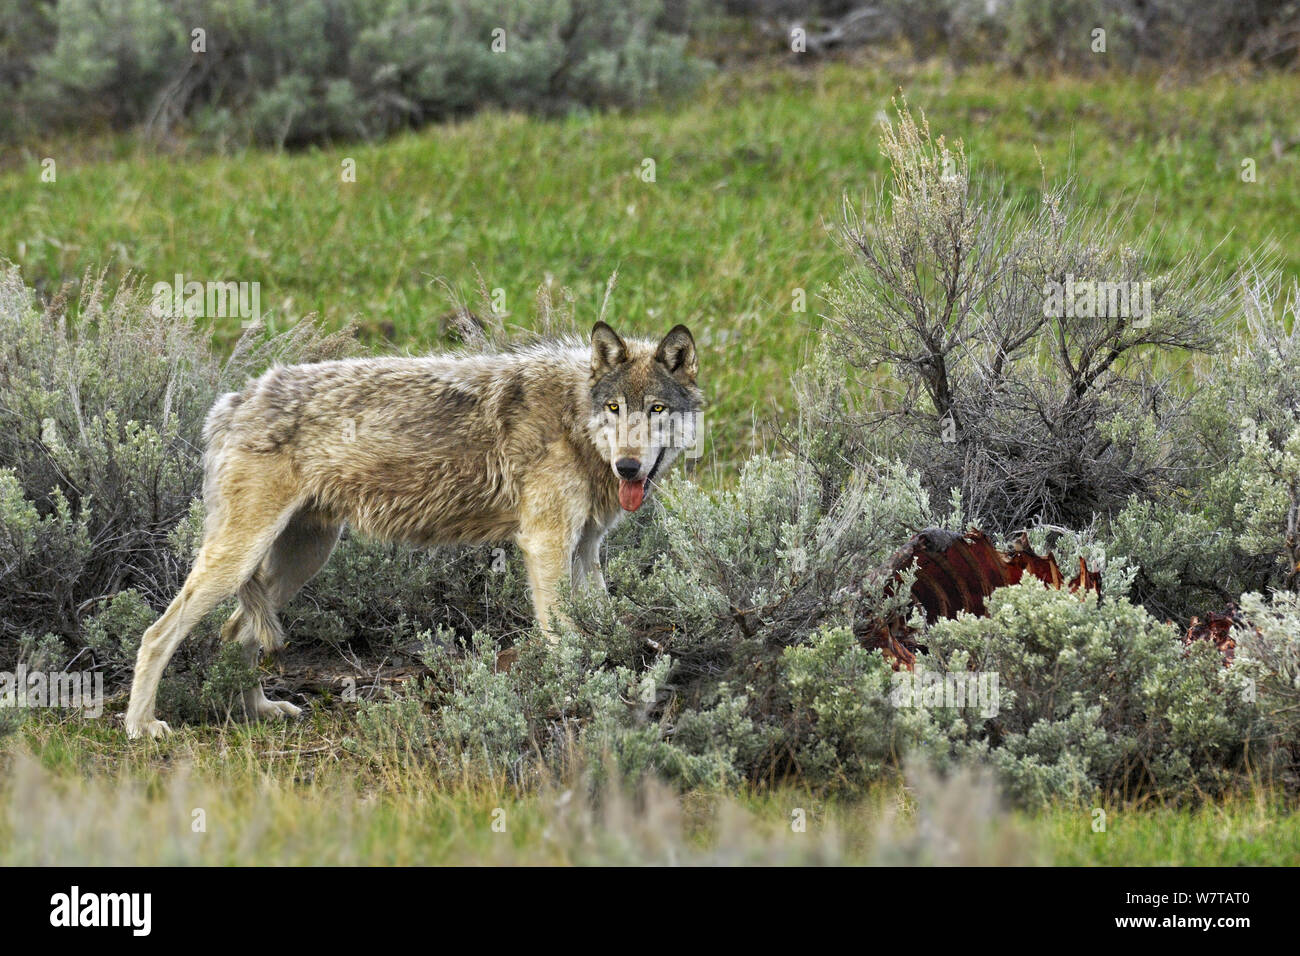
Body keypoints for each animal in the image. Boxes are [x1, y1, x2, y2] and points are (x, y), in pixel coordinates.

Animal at [124, 321, 702, 739]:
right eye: (614, 408)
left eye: (656, 409)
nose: (629, 467)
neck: (573, 417)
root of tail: (231, 401)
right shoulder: (546, 544)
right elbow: (563, 639)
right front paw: (575, 695)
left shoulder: (585, 548)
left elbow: (605, 628)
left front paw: (617, 687)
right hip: (241, 557)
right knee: (157, 635)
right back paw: (141, 727)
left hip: (303, 557)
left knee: (234, 633)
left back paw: (258, 711)